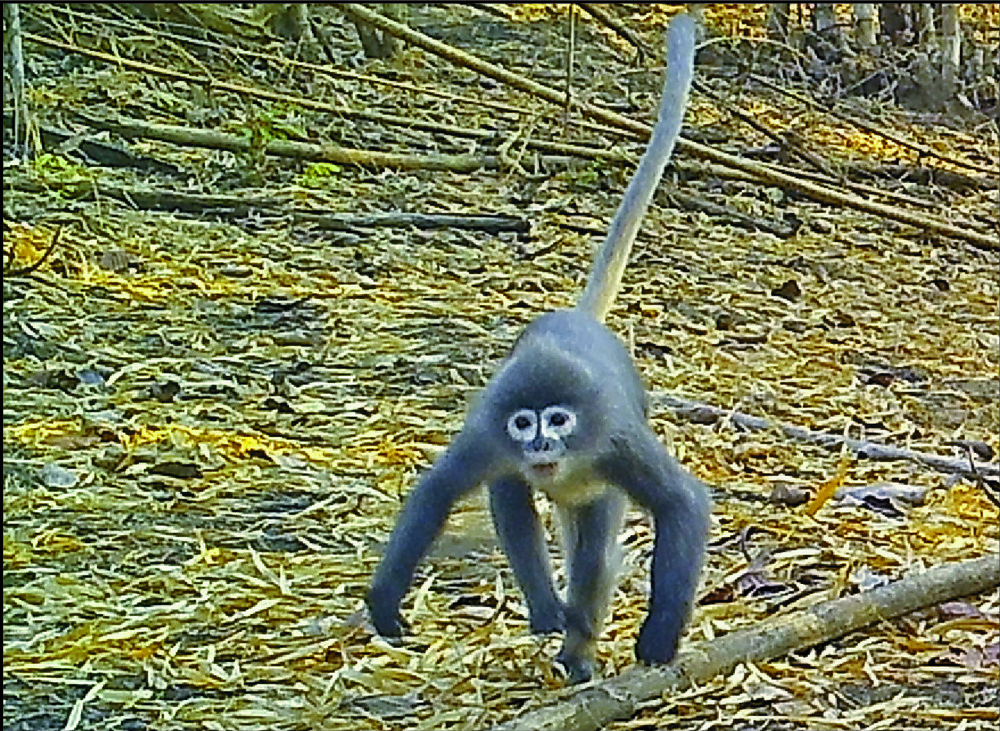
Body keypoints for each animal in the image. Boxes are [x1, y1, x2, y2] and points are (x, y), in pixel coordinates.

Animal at [366, 13, 708, 684]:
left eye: (559, 420)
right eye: (526, 423)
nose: (541, 445)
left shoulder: (615, 439)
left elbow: (682, 503)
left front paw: (658, 638)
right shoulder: (489, 432)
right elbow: (438, 492)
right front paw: (386, 600)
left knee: (594, 556)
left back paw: (578, 648)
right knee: (511, 498)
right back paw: (554, 617)